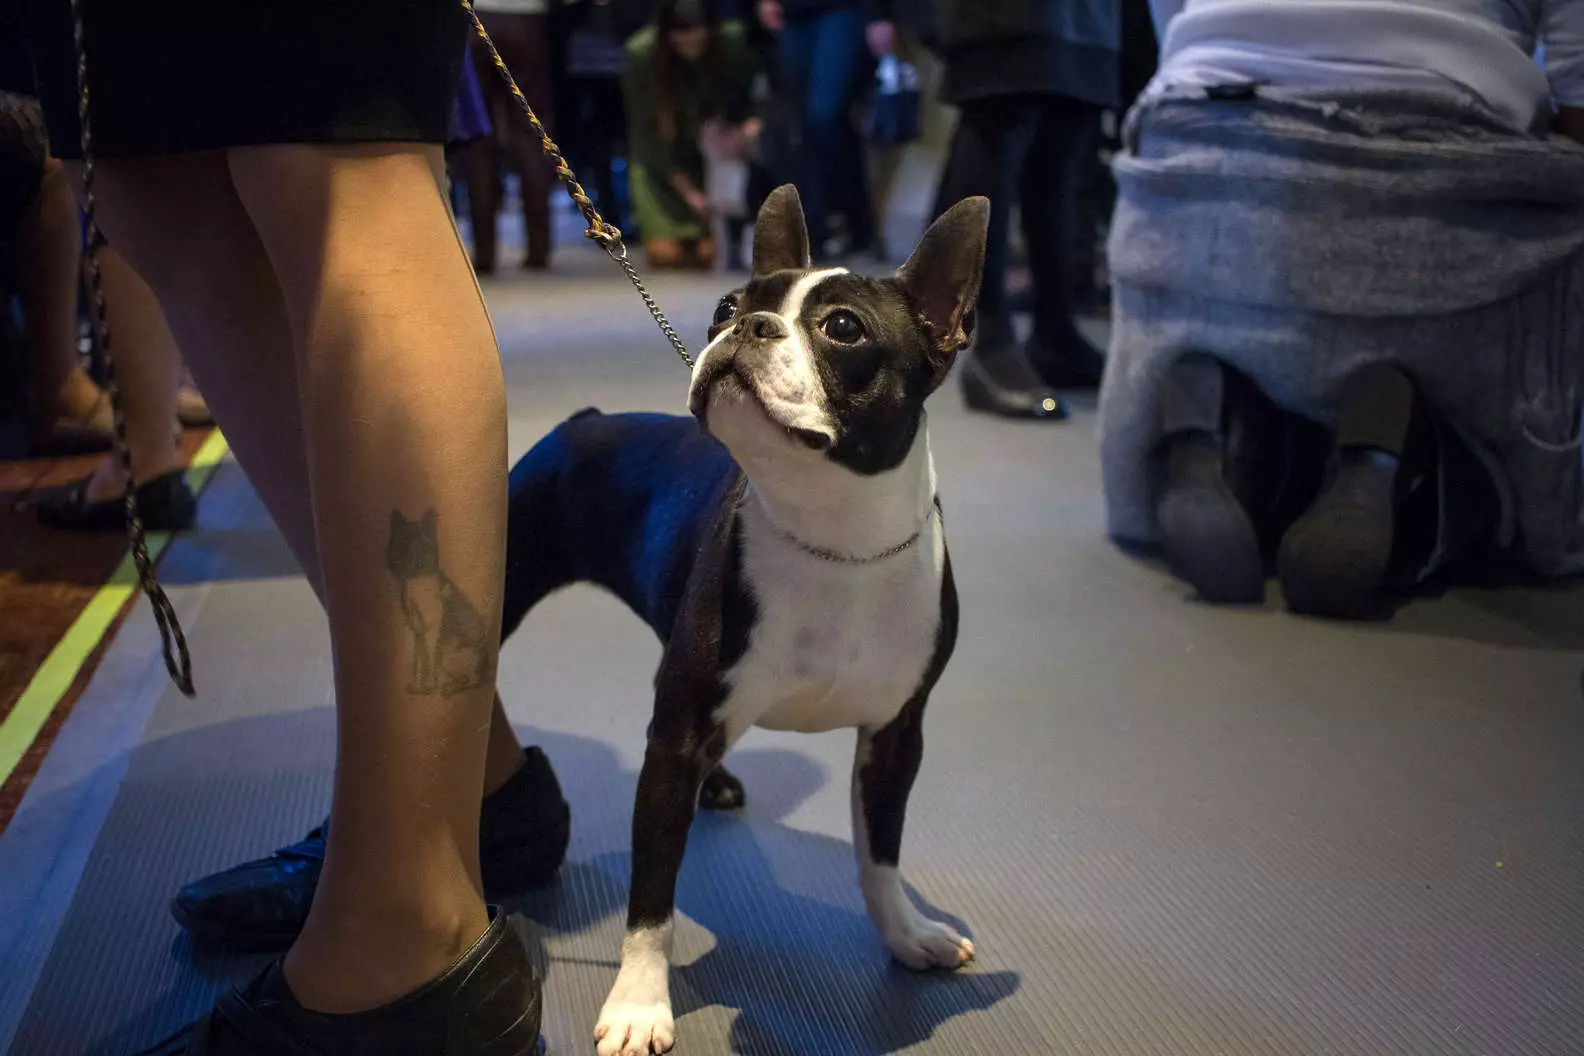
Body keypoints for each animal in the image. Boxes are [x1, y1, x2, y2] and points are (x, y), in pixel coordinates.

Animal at [500, 186, 982, 1051]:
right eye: (727, 305)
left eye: (843, 327)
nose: (744, 325)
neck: (831, 535)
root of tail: (584, 417)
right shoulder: (674, 743)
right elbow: (651, 894)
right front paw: (639, 1003)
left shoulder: (896, 734)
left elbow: (881, 851)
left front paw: (906, 934)